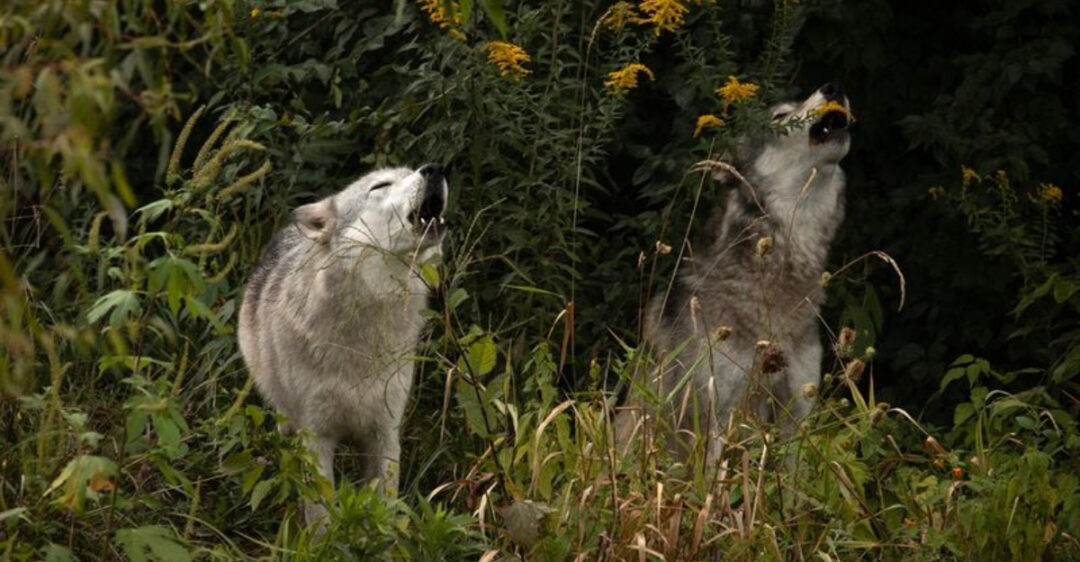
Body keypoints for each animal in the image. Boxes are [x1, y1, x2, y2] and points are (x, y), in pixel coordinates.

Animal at [238, 164, 448, 524]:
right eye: (380, 185)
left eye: (410, 171)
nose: (434, 168)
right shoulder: (316, 439)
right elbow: (322, 517)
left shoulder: (384, 434)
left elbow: (383, 510)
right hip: (286, 421)